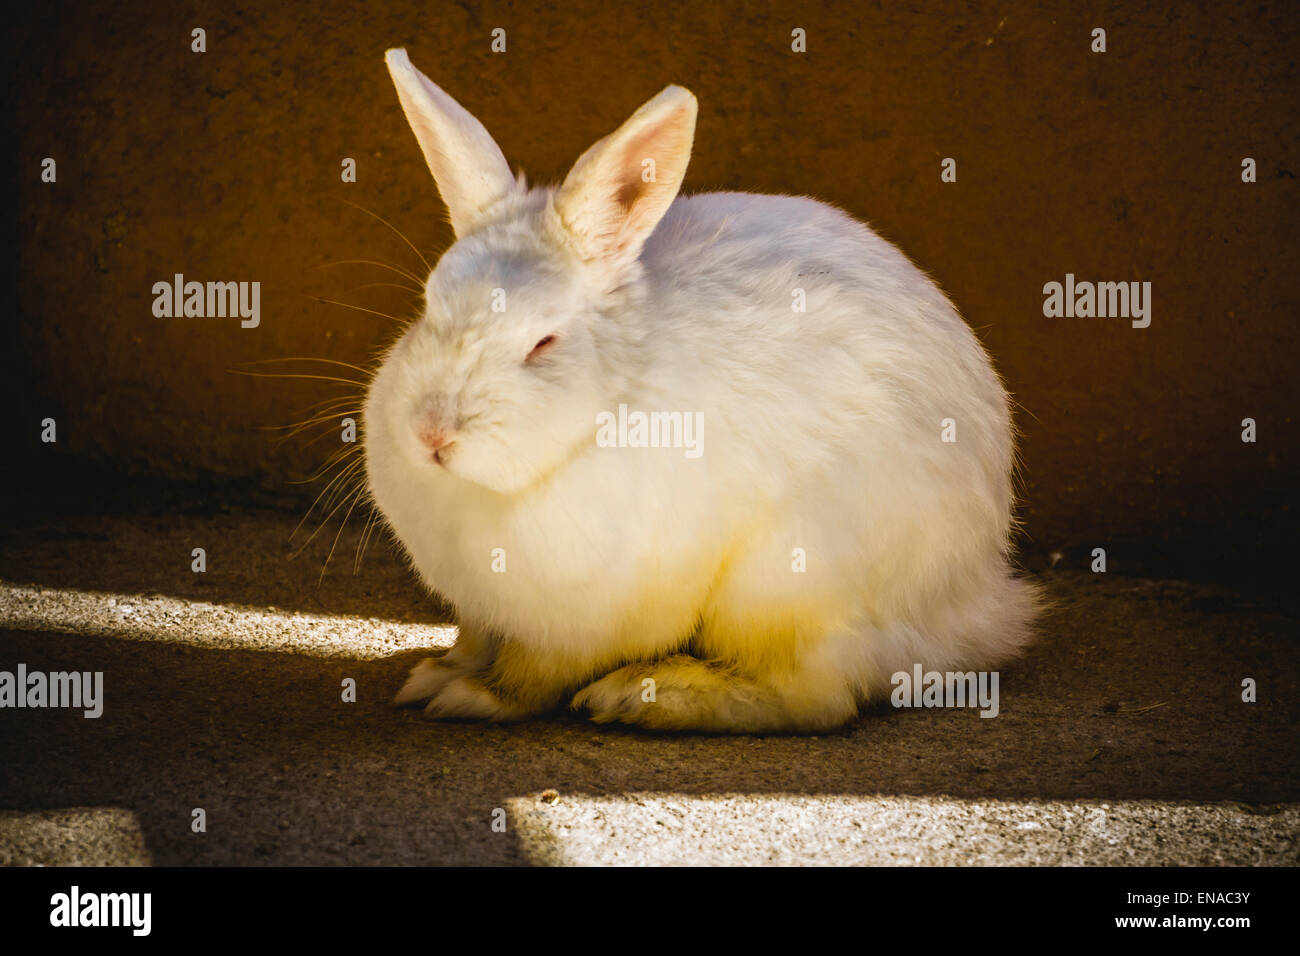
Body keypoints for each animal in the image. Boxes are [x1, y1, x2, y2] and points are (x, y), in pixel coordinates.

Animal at [366, 47, 1039, 733]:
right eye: (429, 306)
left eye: (543, 342)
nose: (432, 435)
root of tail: (977, 608)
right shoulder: (483, 611)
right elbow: (478, 640)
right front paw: (437, 674)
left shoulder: (587, 620)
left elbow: (536, 673)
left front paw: (474, 697)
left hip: (784, 588)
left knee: (814, 697)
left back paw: (650, 695)